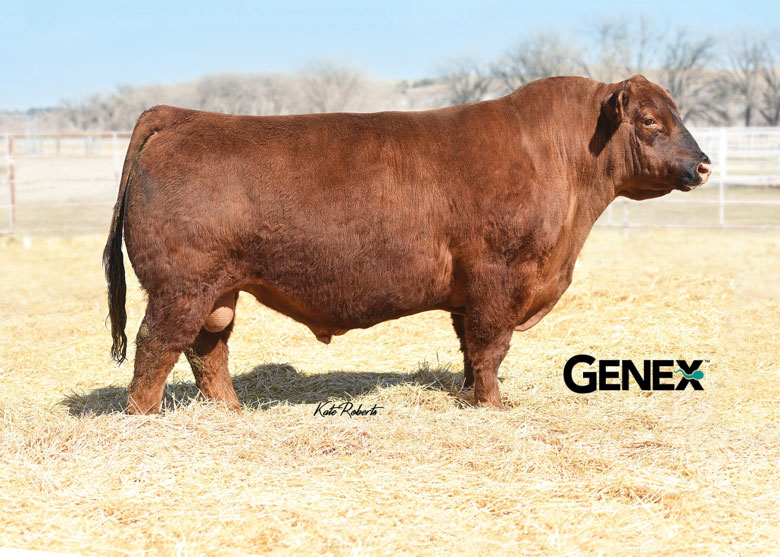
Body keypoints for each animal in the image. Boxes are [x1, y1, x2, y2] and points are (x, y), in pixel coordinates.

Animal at [103, 74, 712, 414]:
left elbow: (469, 348)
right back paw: (144, 418)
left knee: (208, 351)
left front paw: (470, 394)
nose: (704, 165)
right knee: (157, 347)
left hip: (217, 291)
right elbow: (491, 347)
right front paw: (495, 406)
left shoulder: (468, 293)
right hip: (181, 286)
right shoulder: (498, 279)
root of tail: (181, 115)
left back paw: (230, 411)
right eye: (651, 121)